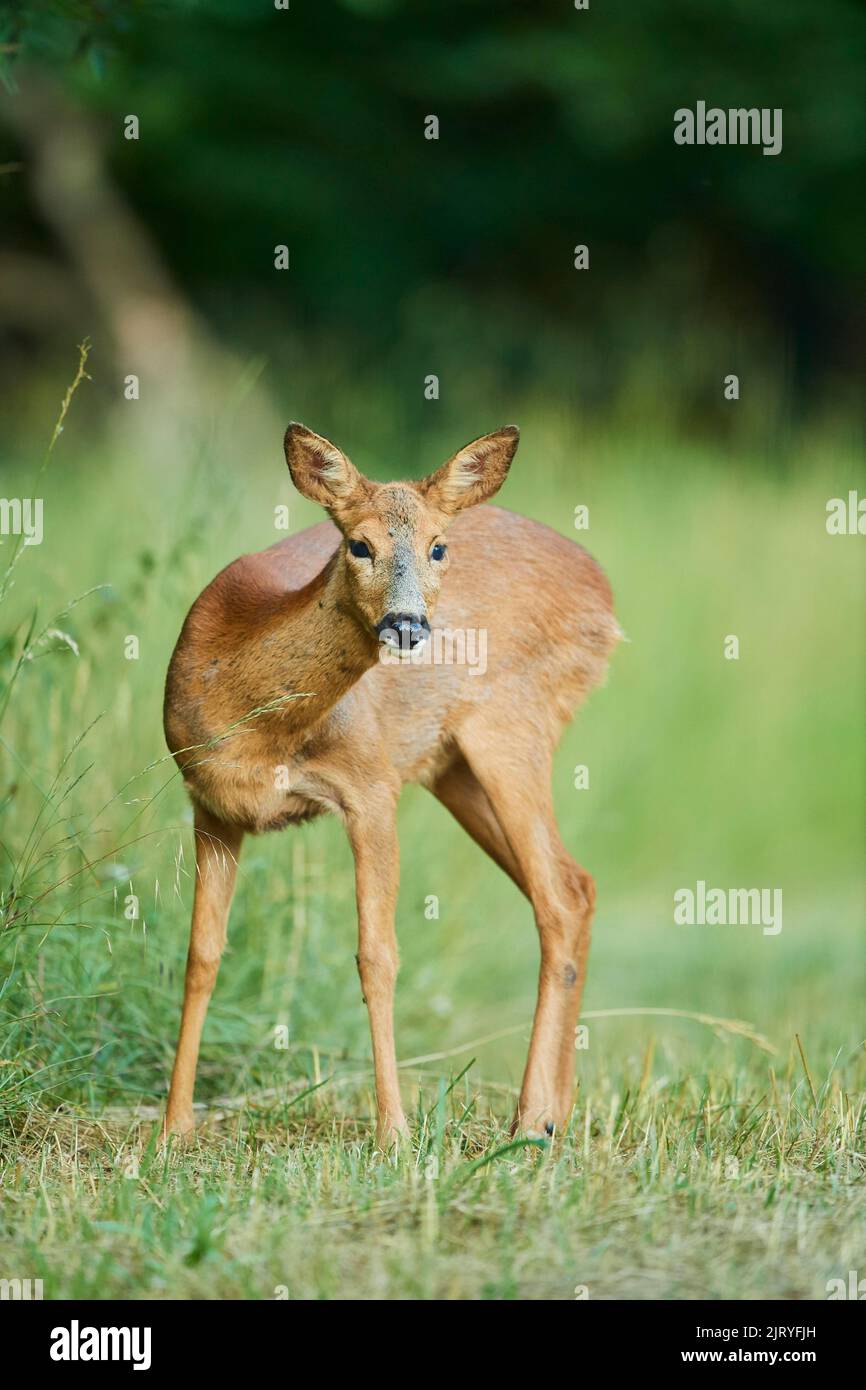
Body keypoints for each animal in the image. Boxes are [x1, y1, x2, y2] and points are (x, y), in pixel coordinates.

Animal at [162, 424, 620, 1148]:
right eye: (359, 543)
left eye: (438, 545)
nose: (408, 626)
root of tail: (601, 588)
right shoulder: (208, 803)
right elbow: (201, 954)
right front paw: (172, 1131)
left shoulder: (371, 785)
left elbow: (377, 955)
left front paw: (395, 1134)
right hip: (454, 768)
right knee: (576, 888)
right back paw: (550, 1116)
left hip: (512, 729)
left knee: (558, 893)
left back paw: (530, 1119)